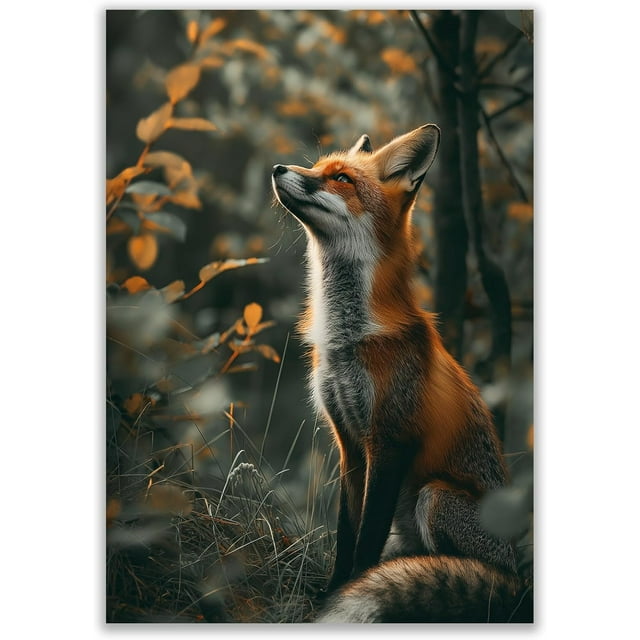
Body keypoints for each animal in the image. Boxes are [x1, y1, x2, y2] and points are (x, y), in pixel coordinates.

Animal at [271, 124, 531, 623]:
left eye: (341, 178)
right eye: (317, 167)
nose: (277, 168)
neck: (347, 338)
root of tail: (520, 578)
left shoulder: (390, 439)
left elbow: (367, 537)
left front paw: (350, 590)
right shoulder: (350, 441)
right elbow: (346, 533)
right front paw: (333, 589)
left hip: (434, 496)